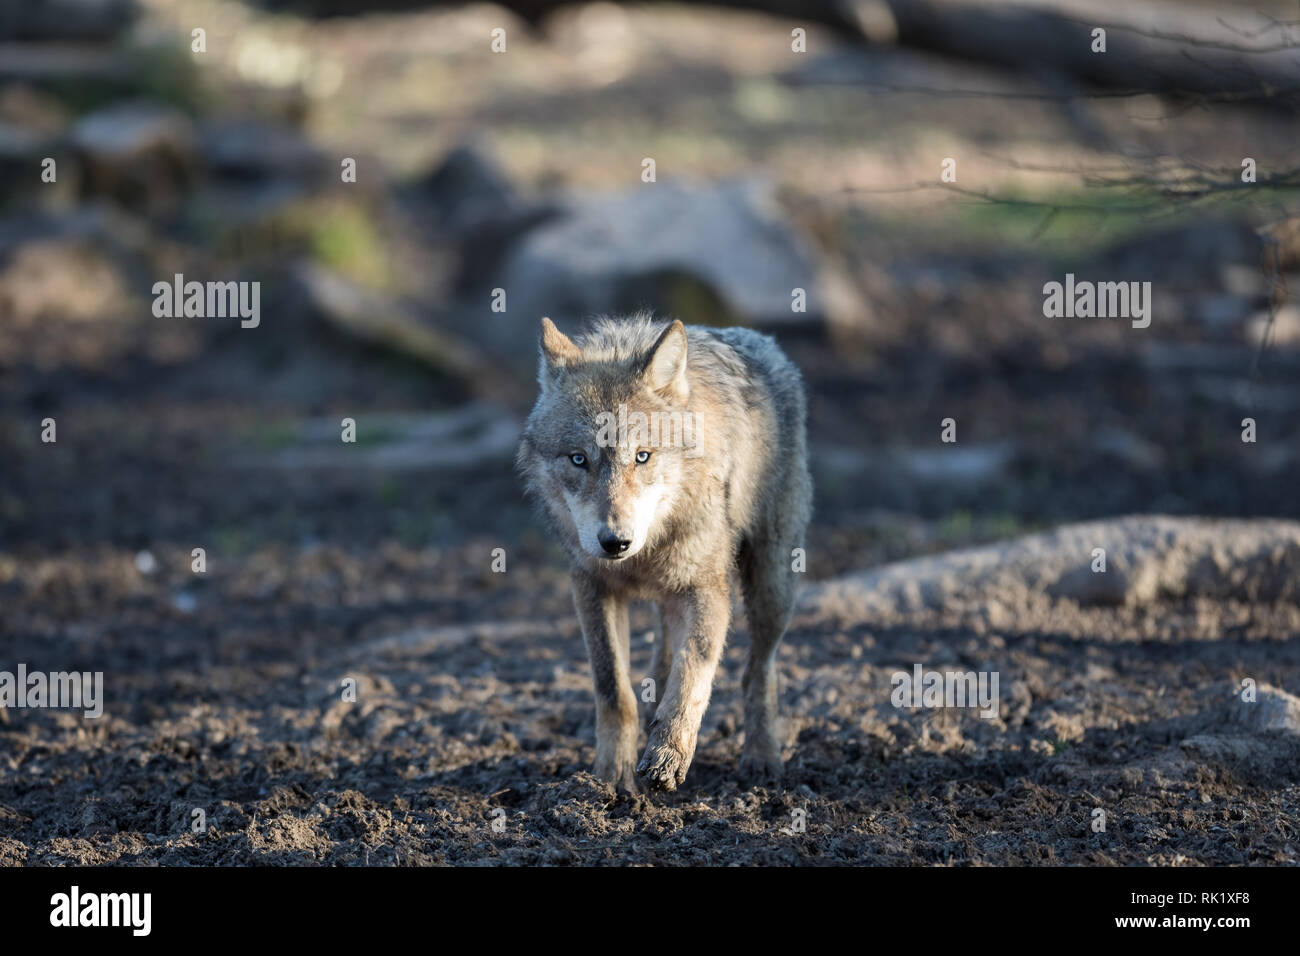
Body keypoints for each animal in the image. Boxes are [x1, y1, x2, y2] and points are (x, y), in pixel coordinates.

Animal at [517, 313, 812, 792]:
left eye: (642, 456)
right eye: (579, 460)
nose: (614, 541)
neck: (645, 553)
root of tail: (766, 343)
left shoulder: (707, 590)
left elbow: (694, 673)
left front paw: (668, 754)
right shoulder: (591, 588)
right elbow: (613, 689)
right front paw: (610, 777)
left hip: (772, 585)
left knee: (758, 670)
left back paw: (762, 756)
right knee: (663, 649)